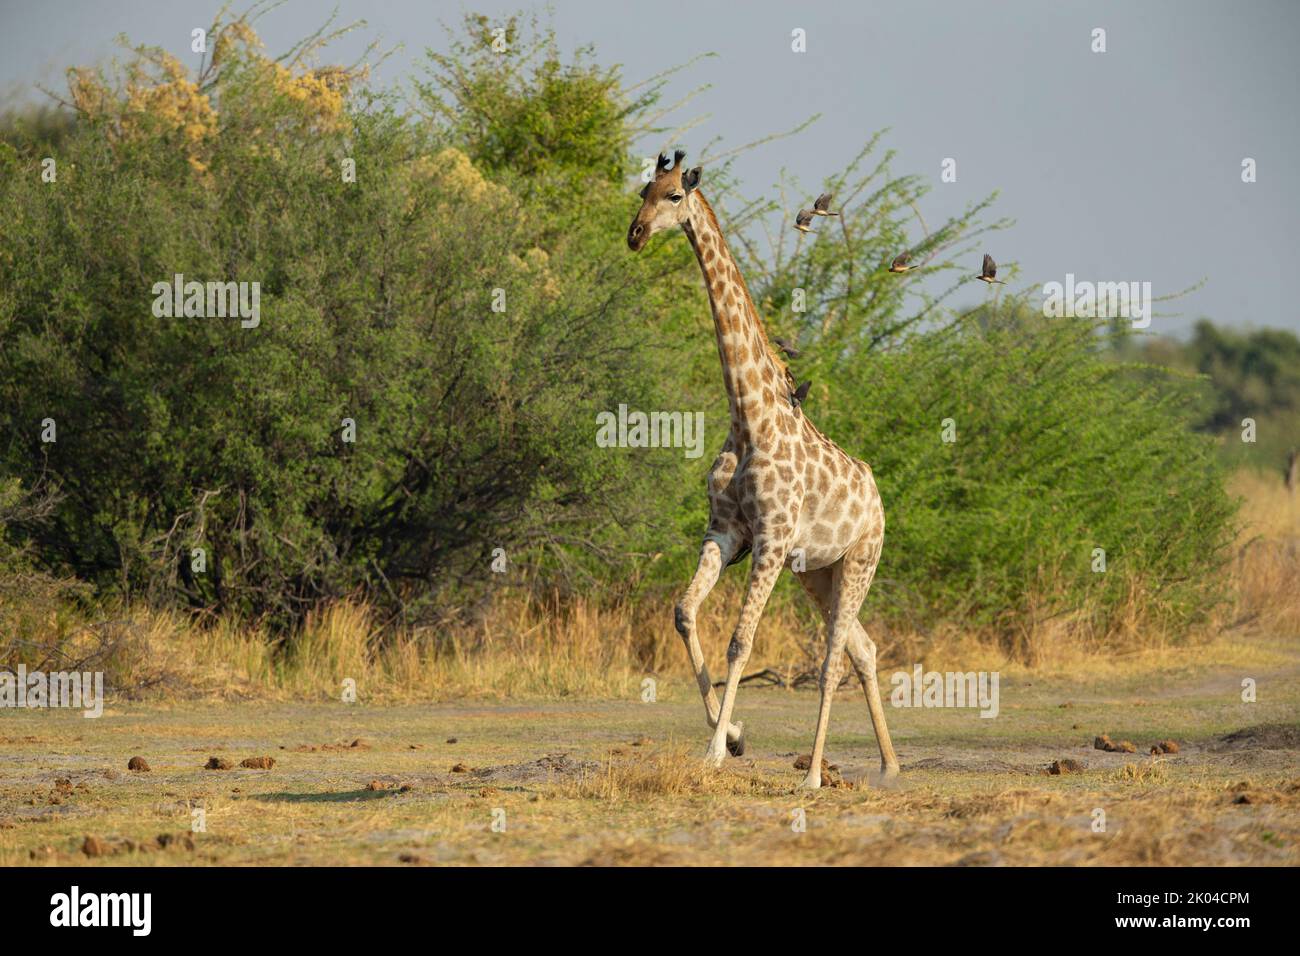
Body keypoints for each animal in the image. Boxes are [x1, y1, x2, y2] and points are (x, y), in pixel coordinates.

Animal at [627, 150, 900, 787]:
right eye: (643, 189)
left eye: (674, 196)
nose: (636, 234)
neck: (747, 413)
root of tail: (876, 494)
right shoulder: (728, 532)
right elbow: (684, 613)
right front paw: (731, 735)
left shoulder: (771, 542)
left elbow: (741, 640)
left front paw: (712, 749)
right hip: (818, 573)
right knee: (863, 649)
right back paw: (889, 765)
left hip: (860, 560)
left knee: (832, 660)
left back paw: (815, 774)